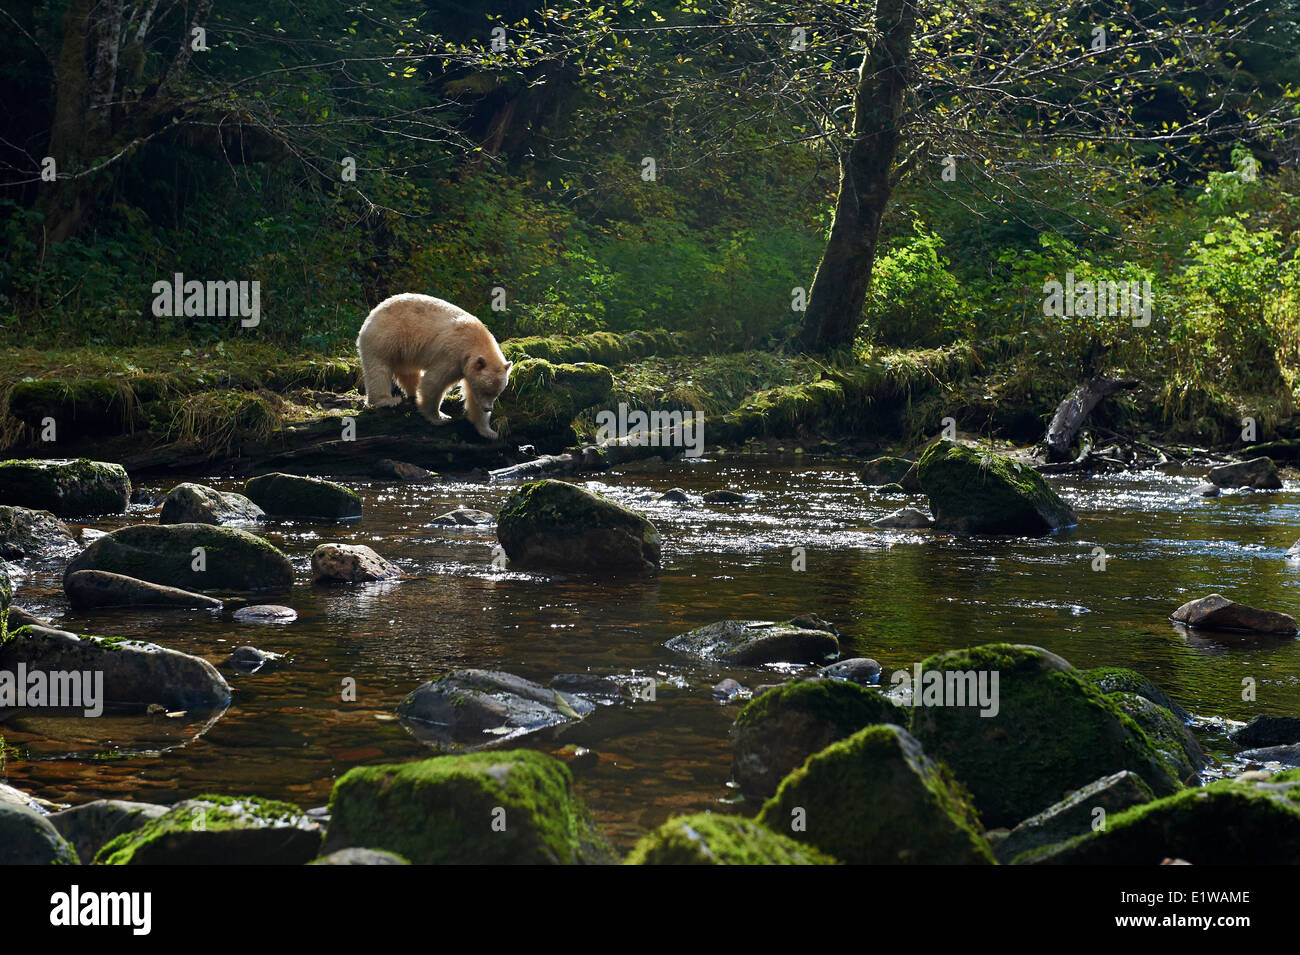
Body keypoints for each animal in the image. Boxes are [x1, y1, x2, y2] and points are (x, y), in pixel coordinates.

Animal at [356, 293, 513, 440]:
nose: (488, 408)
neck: (475, 340)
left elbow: (473, 399)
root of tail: (373, 312)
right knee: (379, 368)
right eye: (485, 390)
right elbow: (434, 382)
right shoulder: (452, 355)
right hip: (386, 336)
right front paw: (440, 417)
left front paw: (489, 432)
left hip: (404, 349)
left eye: (497, 393)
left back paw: (412, 392)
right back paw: (387, 400)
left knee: (408, 371)